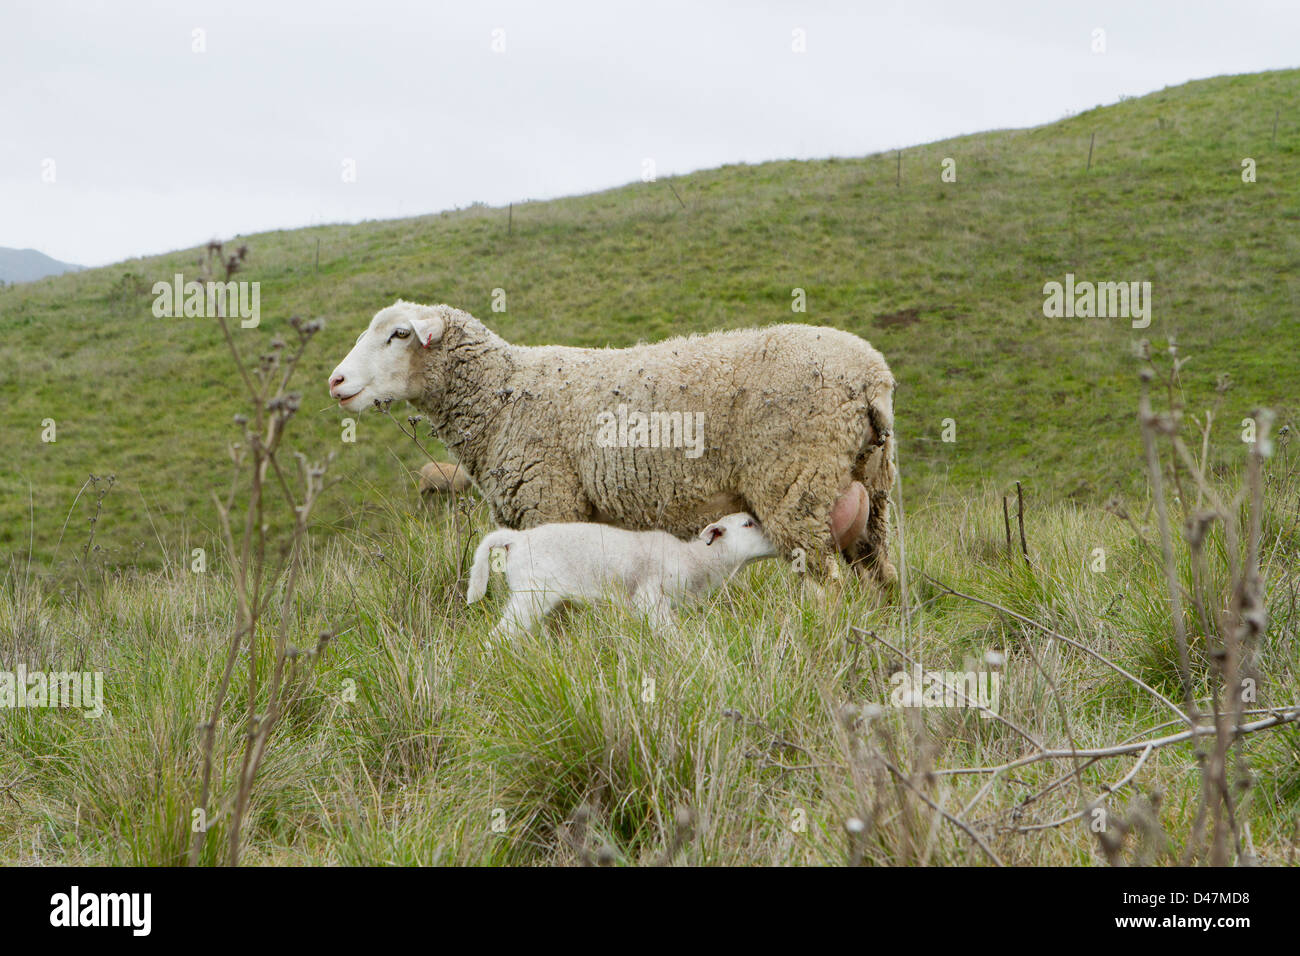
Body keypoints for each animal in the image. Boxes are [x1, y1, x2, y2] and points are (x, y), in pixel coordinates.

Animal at [328, 301, 896, 587]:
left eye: (400, 334)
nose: (336, 381)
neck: (503, 394)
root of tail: (872, 376)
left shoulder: (550, 502)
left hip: (793, 484)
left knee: (827, 587)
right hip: (873, 492)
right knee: (883, 579)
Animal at [466, 512, 776, 641]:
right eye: (747, 524)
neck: (695, 558)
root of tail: (517, 539)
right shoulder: (650, 597)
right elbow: (670, 631)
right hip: (530, 595)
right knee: (498, 636)